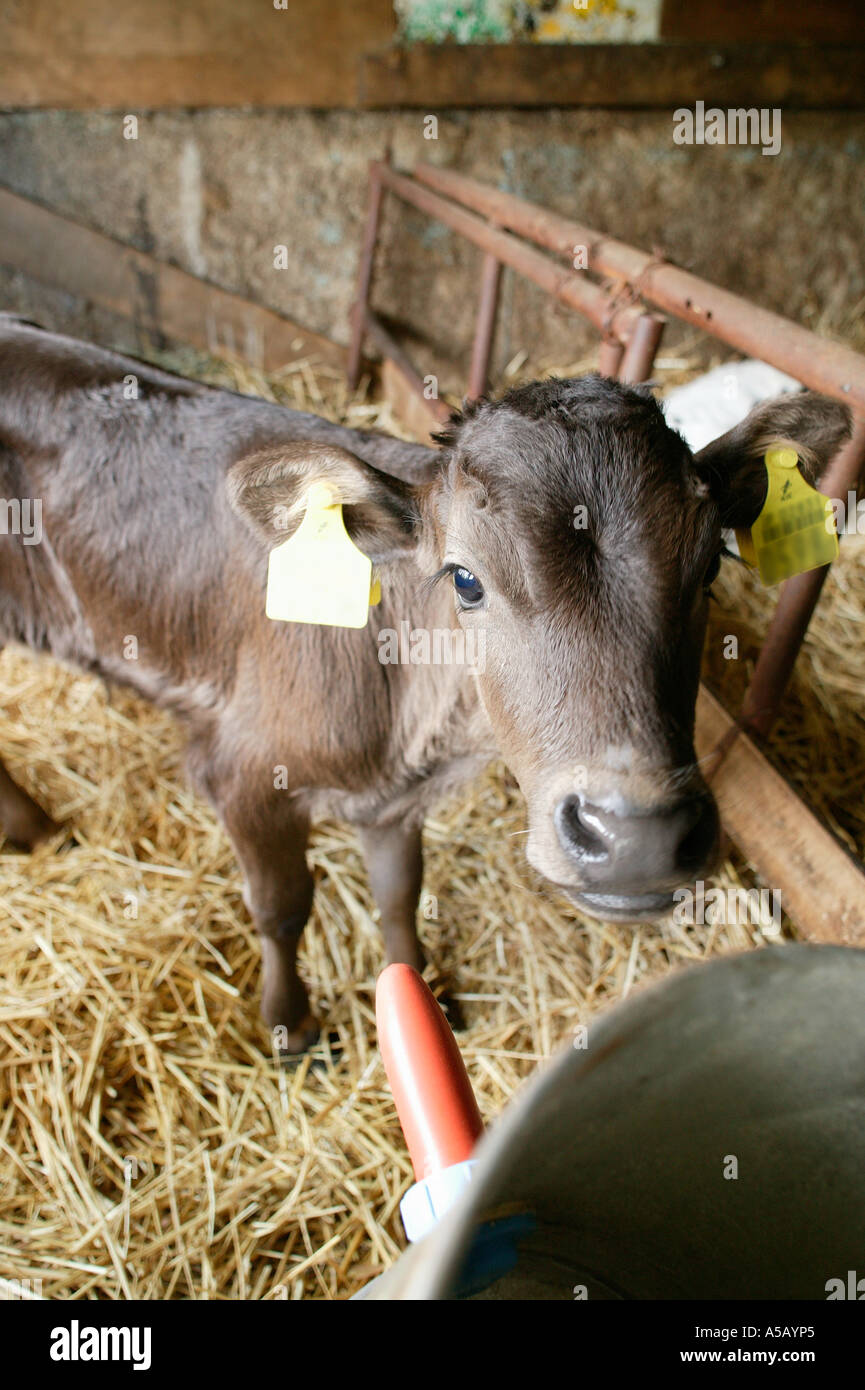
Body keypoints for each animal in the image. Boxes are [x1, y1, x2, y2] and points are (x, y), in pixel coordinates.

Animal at [0, 315, 850, 1050]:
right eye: (465, 580)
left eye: (710, 569)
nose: (635, 837)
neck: (409, 727)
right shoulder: (240, 772)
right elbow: (281, 908)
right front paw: (291, 1026)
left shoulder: (393, 799)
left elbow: (398, 893)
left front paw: (421, 996)